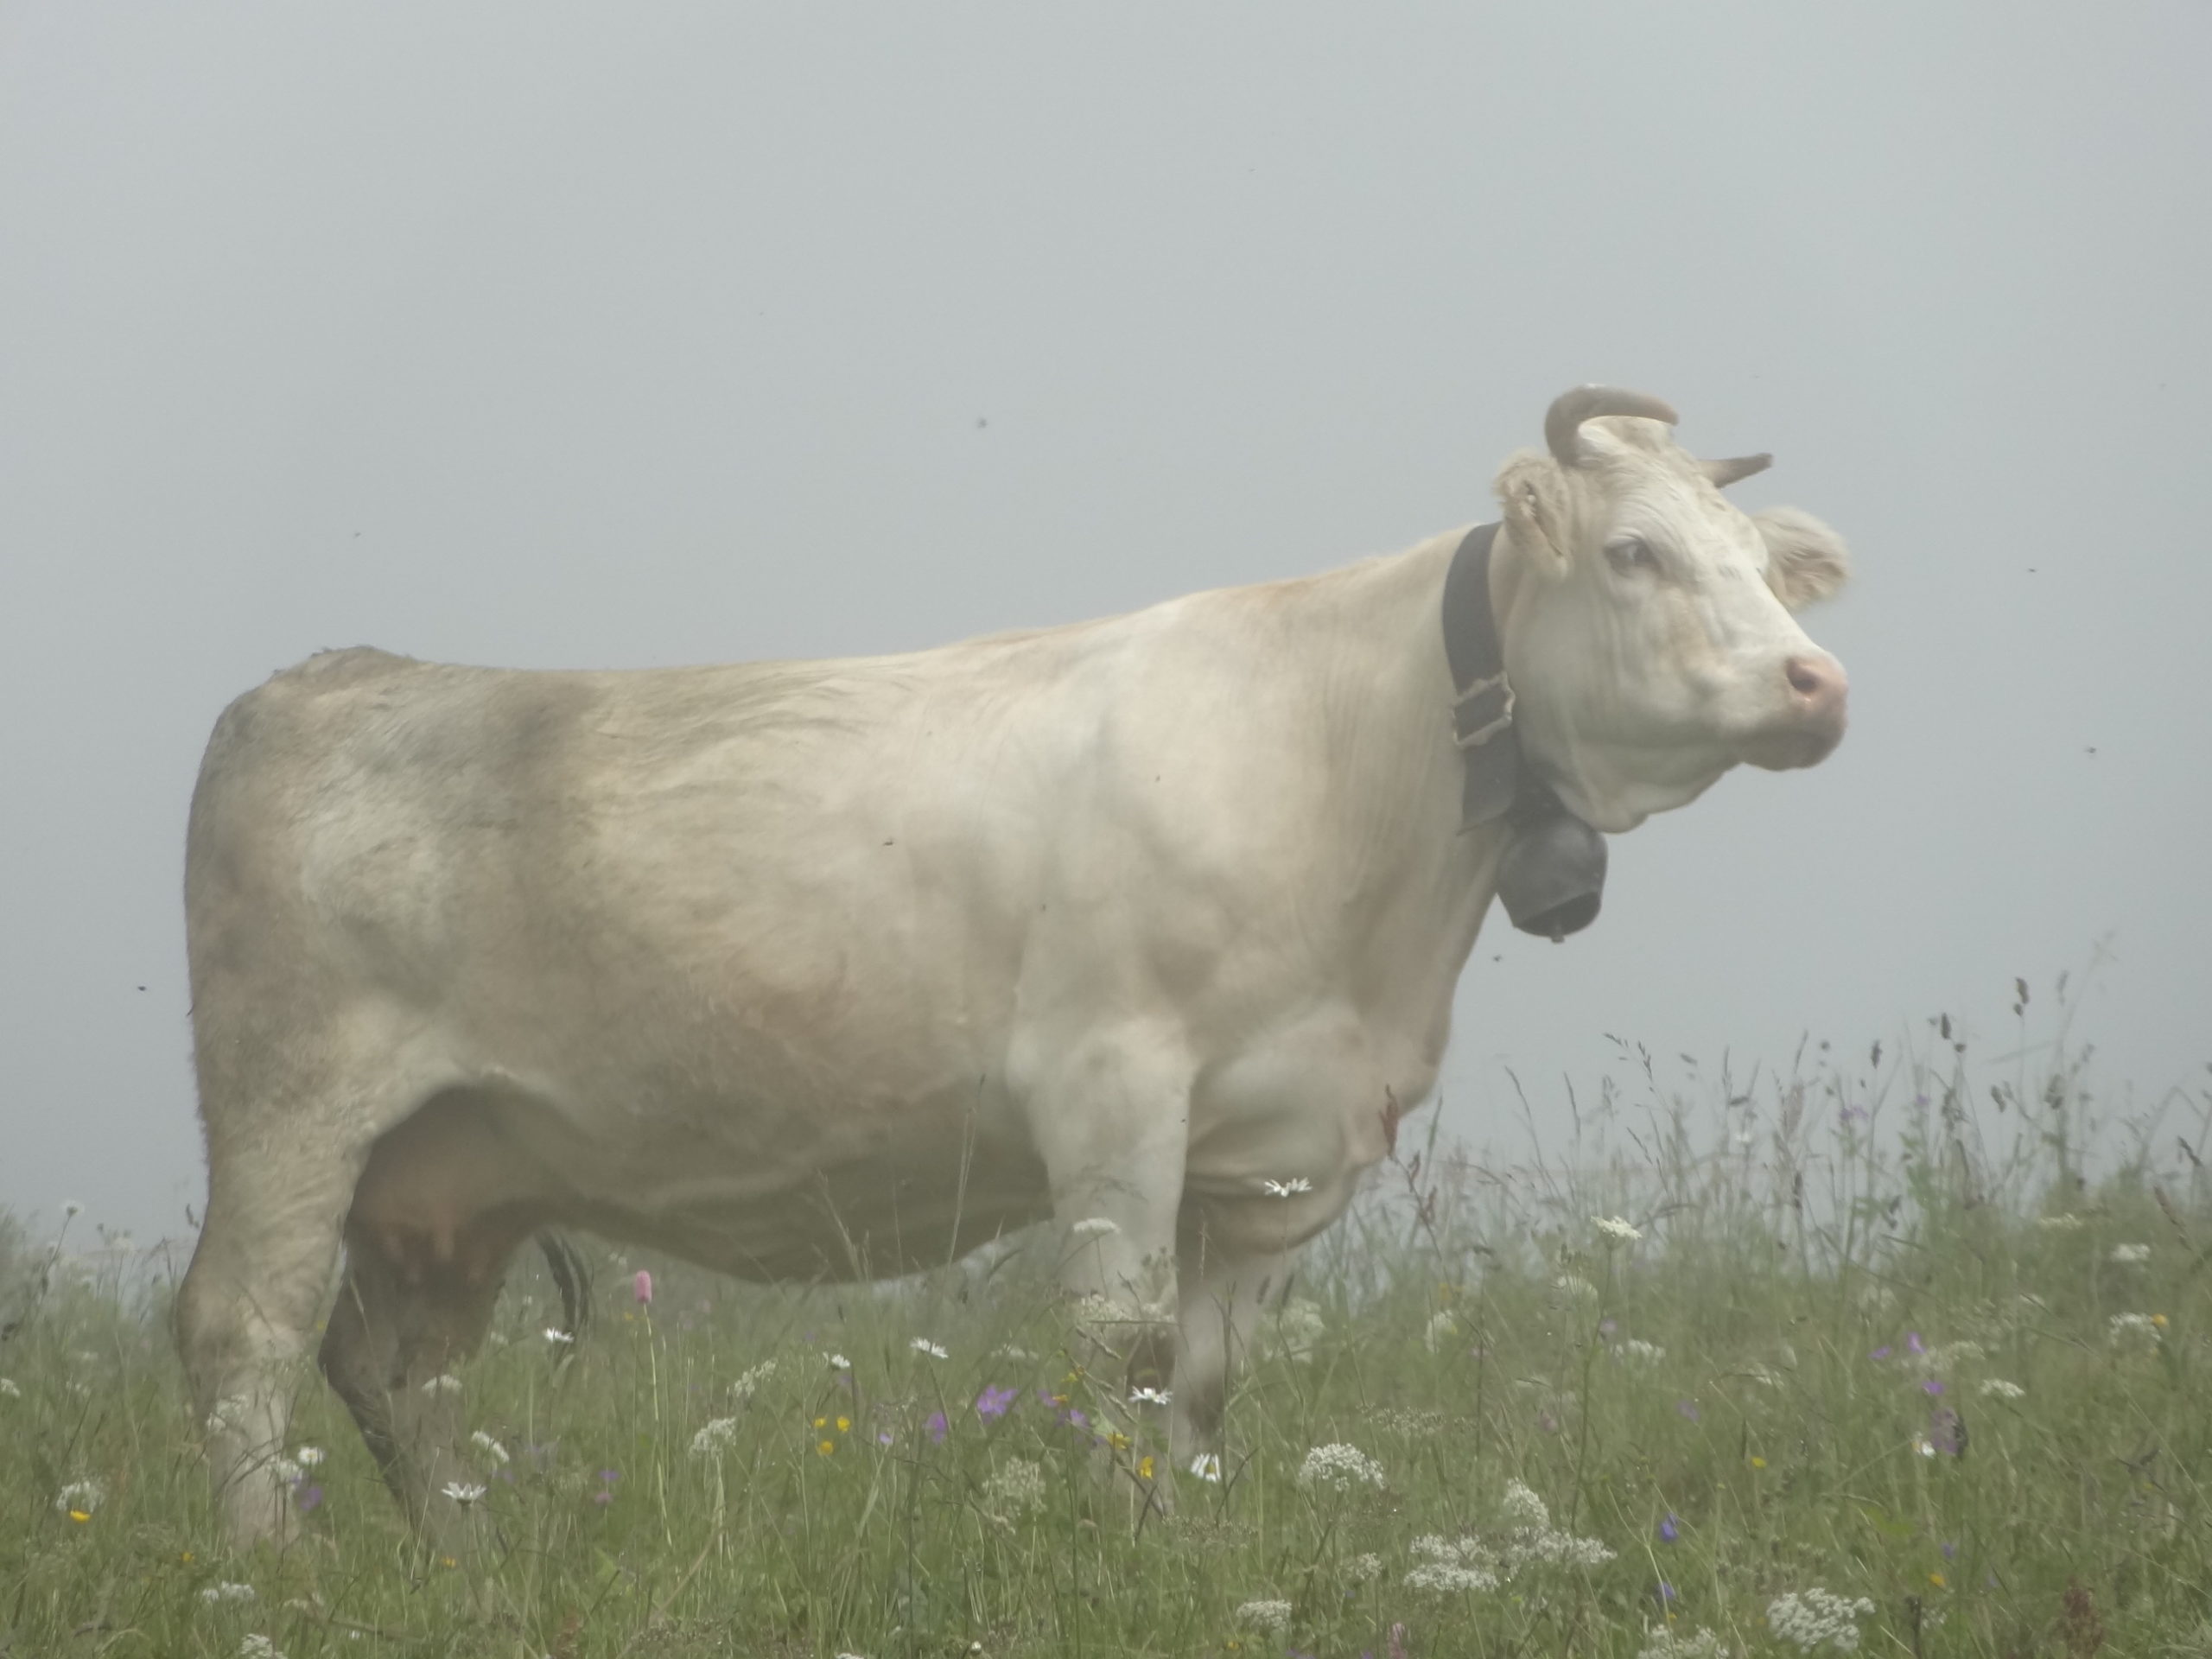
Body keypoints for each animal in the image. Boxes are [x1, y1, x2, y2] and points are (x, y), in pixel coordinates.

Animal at [175, 387, 1850, 1547]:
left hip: (452, 1178)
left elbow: (1209, 1373)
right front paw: (1121, 1552)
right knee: (244, 1328)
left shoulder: (1288, 1151)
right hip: (290, 1104)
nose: (1817, 682)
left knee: (404, 1371)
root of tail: (327, 679)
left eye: (1763, 566)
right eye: (1634, 553)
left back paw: (463, 1560)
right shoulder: (1110, 1086)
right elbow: (1122, 1351)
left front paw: (1188, 1549)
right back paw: (270, 1565)